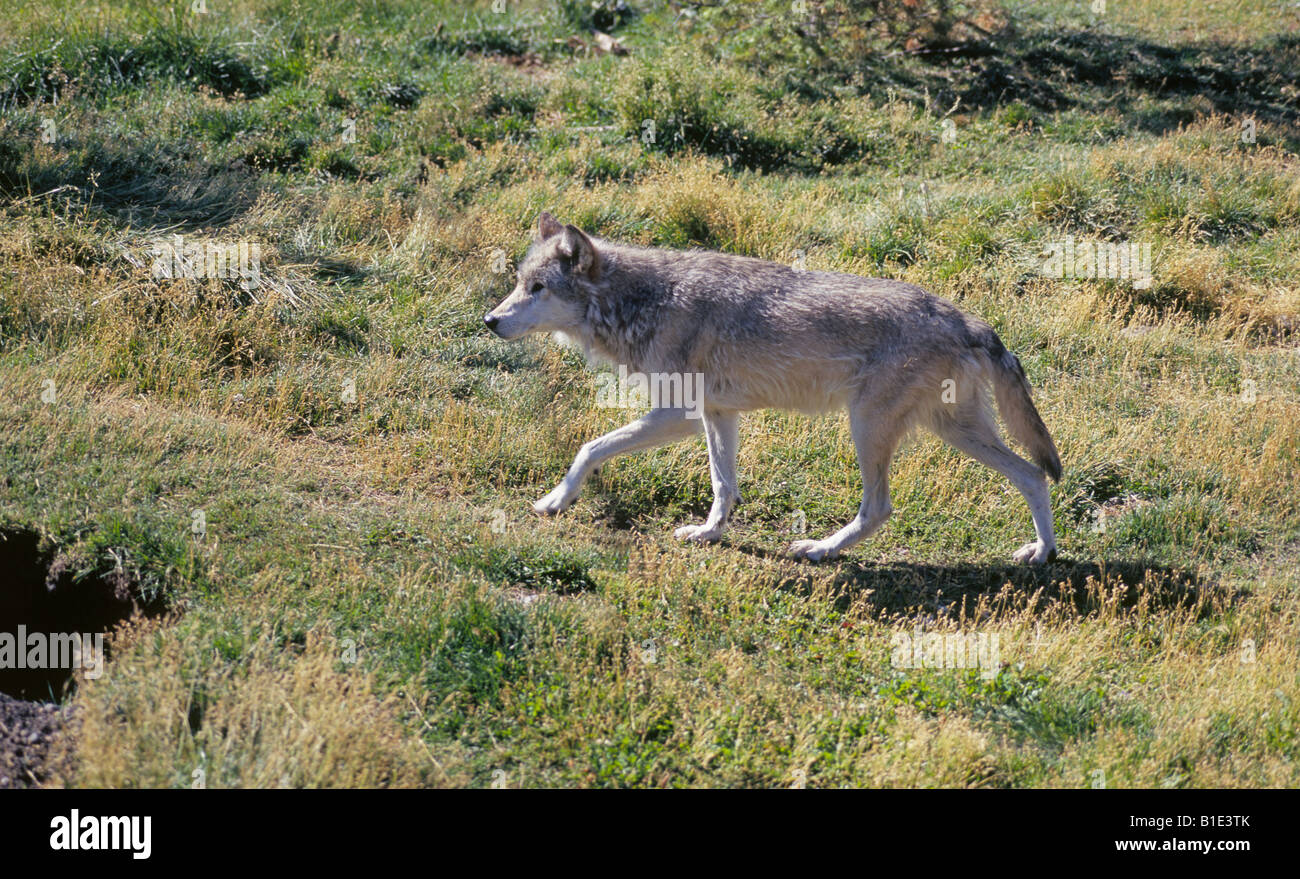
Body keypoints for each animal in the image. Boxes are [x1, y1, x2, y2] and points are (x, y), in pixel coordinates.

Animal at [484, 212, 1062, 563]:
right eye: (517, 284)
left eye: (538, 289)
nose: (490, 321)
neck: (642, 300)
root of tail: (968, 320)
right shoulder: (717, 415)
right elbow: (724, 486)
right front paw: (708, 535)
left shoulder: (679, 416)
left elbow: (589, 447)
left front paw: (555, 501)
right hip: (954, 431)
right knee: (1034, 475)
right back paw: (1042, 554)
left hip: (869, 428)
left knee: (879, 508)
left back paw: (821, 550)